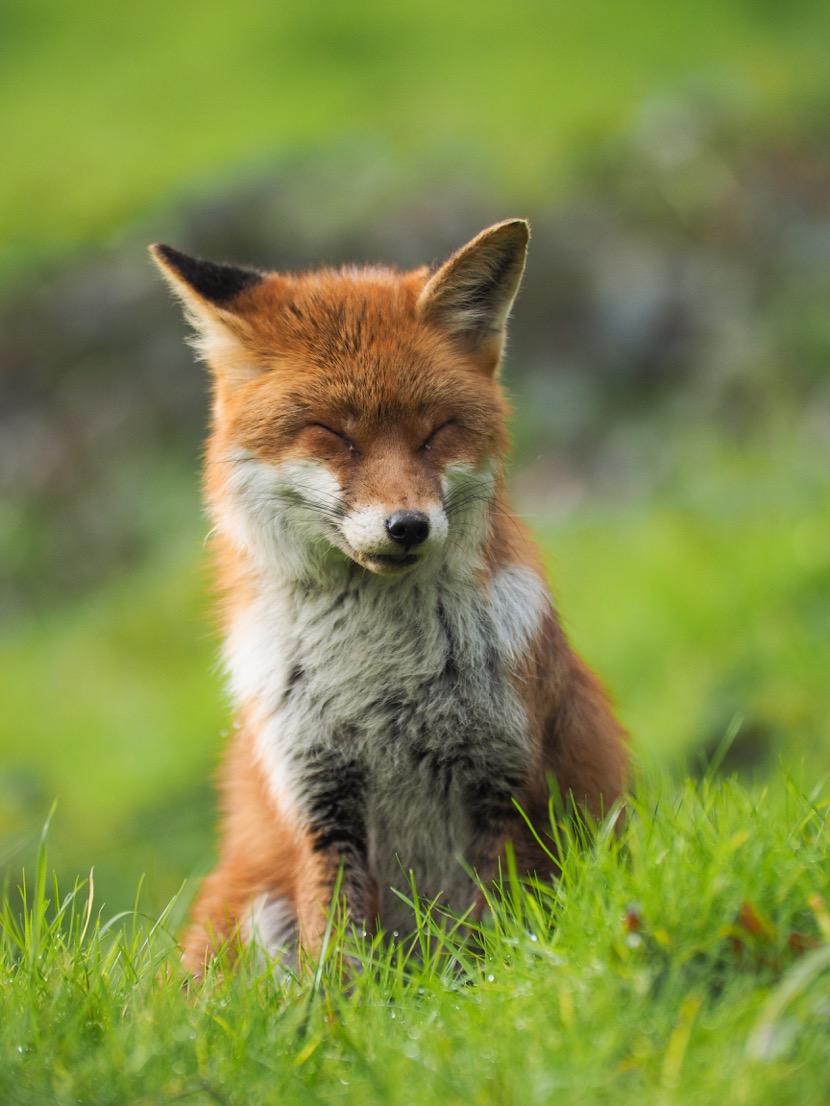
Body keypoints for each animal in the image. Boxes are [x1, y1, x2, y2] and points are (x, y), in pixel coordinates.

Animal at [151, 219, 628, 973]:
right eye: (334, 435)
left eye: (436, 431)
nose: (407, 526)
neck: (379, 678)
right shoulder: (320, 802)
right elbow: (337, 957)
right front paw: (338, 1008)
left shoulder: (507, 783)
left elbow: (493, 938)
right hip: (250, 907)